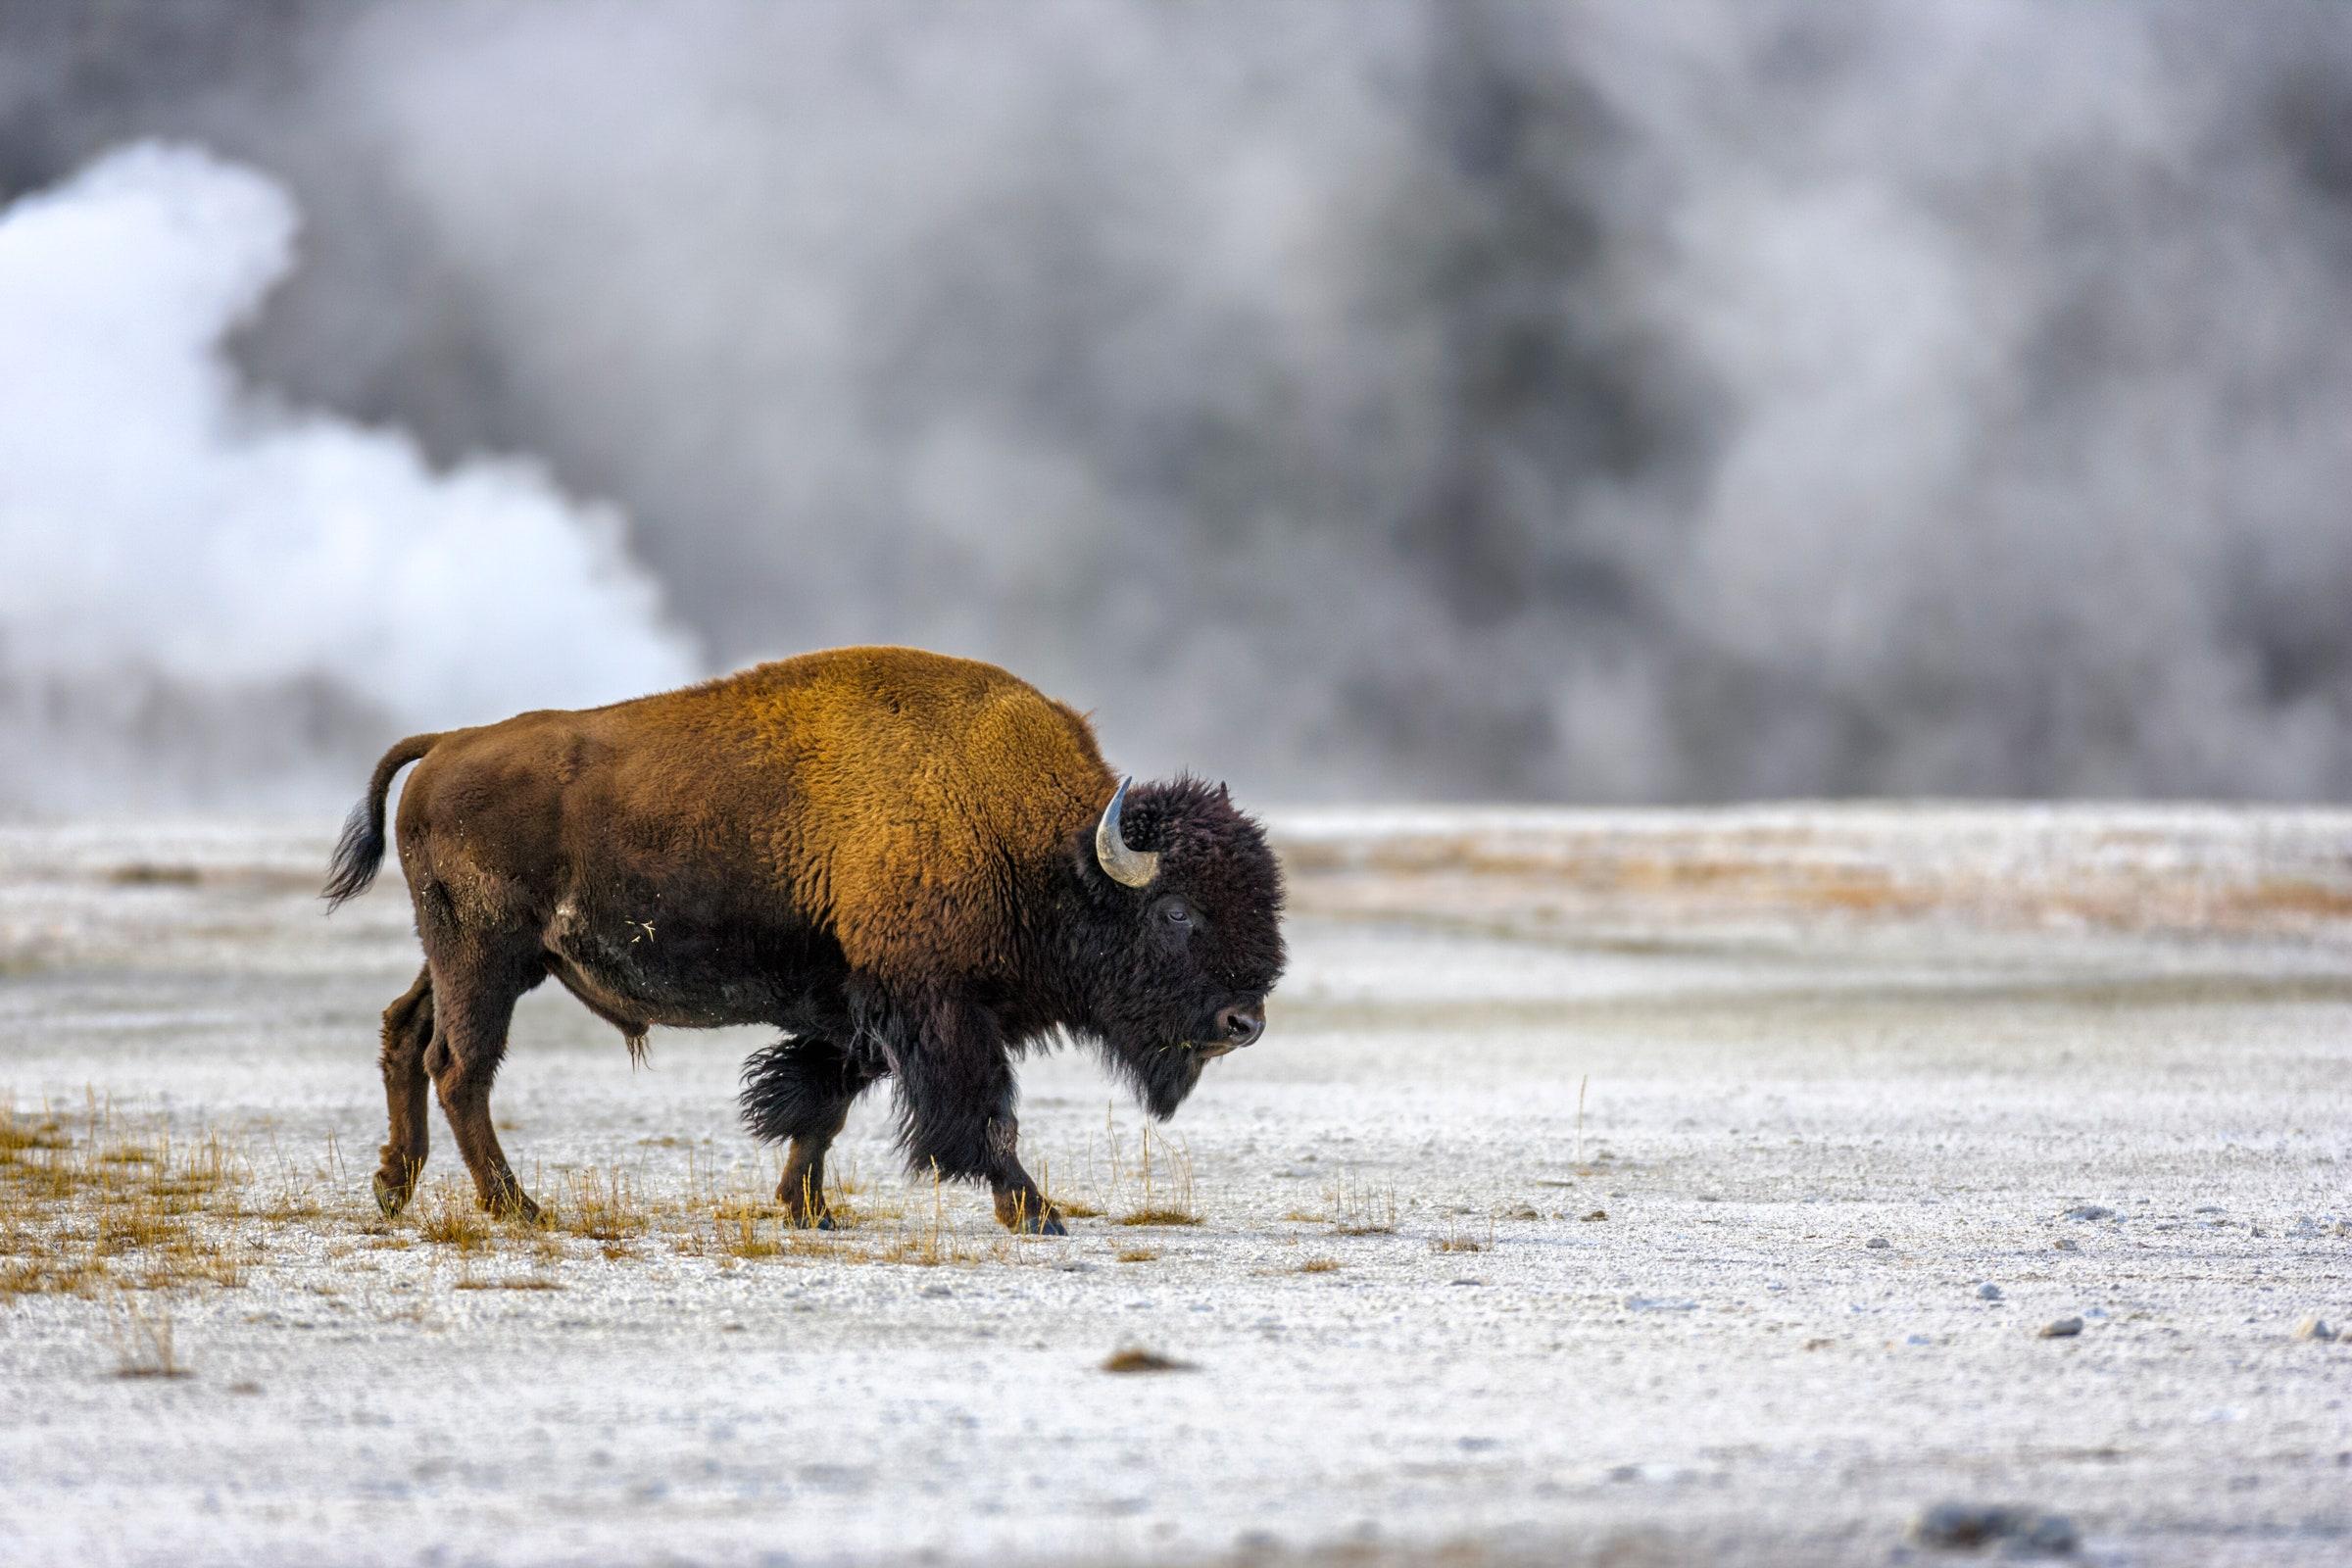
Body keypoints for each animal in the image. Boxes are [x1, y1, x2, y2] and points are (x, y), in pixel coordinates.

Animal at [322, 646, 1286, 1233]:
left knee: (406, 1033)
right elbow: (983, 1117)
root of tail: (447, 744)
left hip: (472, 958)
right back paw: (517, 1207)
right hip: (485, 957)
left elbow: (819, 1108)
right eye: (1176, 912)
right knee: (461, 1067)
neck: (1038, 845)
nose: (1245, 1023)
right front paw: (1037, 1211)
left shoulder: (855, 1011)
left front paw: (808, 1209)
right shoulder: (935, 1010)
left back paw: (394, 1186)